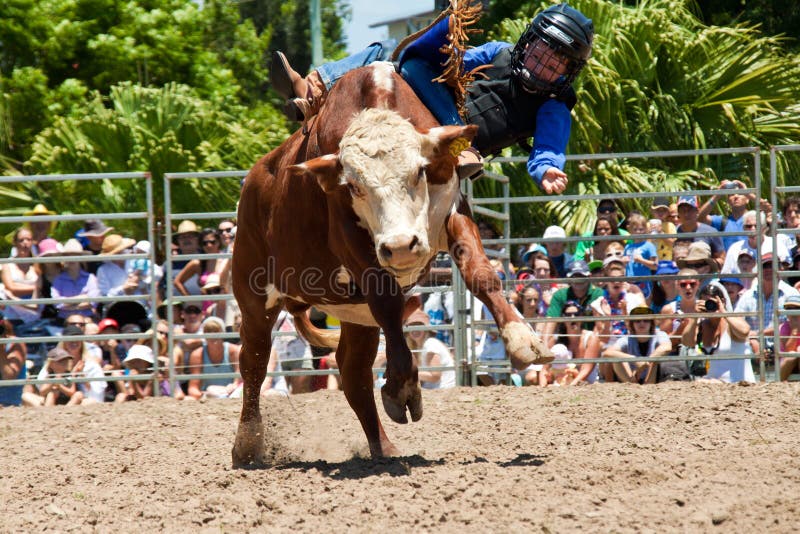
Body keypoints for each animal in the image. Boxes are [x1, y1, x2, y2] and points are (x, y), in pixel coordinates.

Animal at [231, 61, 553, 467]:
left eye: (418, 172)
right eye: (354, 186)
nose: (400, 248)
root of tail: (255, 180)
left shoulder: (452, 209)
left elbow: (480, 272)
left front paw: (522, 340)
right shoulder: (354, 244)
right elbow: (388, 303)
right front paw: (402, 389)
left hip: (354, 313)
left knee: (352, 370)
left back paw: (382, 447)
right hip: (254, 292)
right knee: (255, 361)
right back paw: (247, 444)